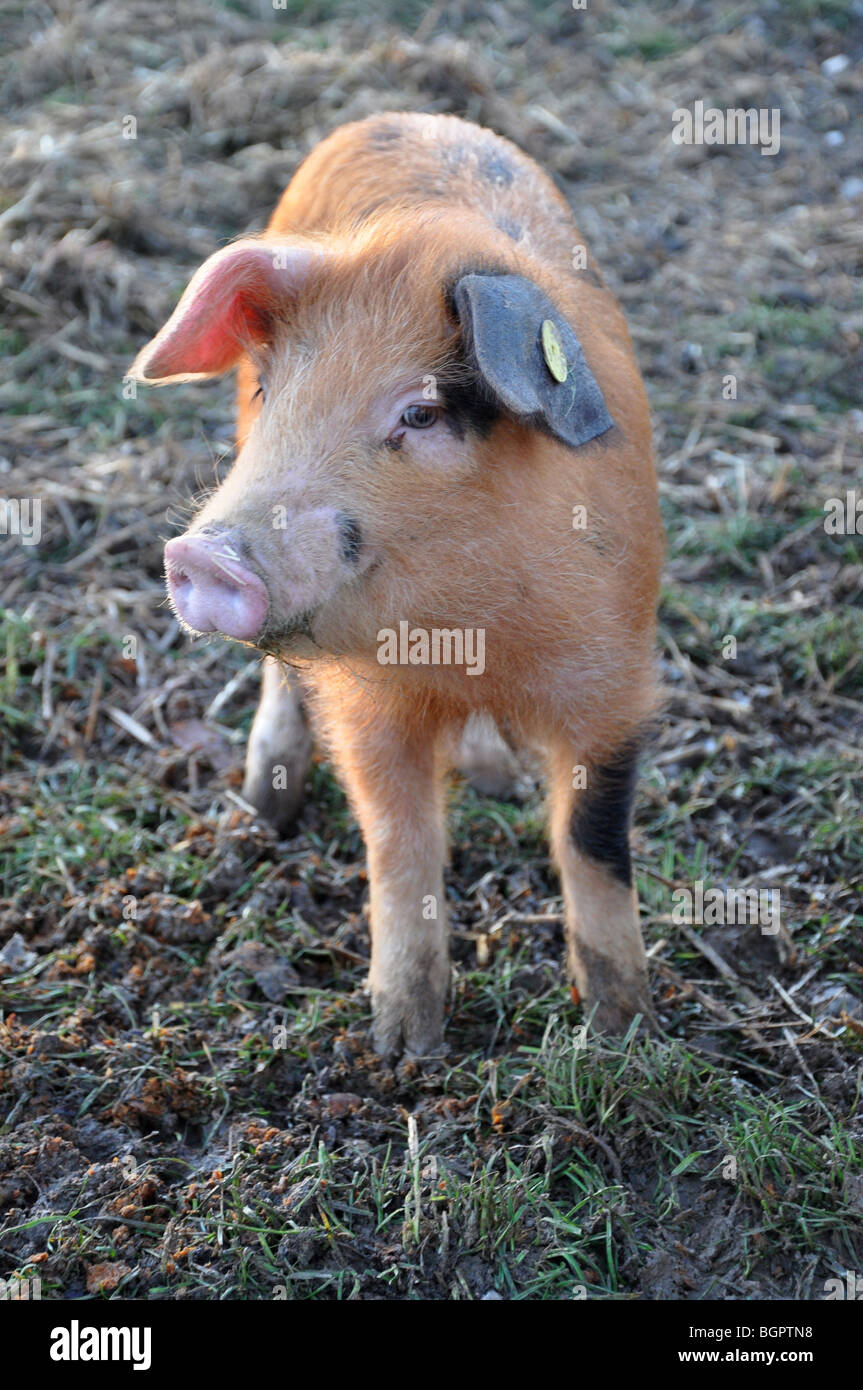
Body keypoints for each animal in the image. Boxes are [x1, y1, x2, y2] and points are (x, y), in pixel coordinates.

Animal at [129, 111, 664, 1057]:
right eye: (270, 390)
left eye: (419, 413)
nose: (204, 558)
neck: (469, 630)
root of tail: (393, 117)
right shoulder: (370, 700)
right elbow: (399, 841)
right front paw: (403, 1045)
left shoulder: (615, 680)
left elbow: (593, 840)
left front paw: (622, 1032)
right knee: (281, 679)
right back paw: (265, 808)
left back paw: (494, 779)